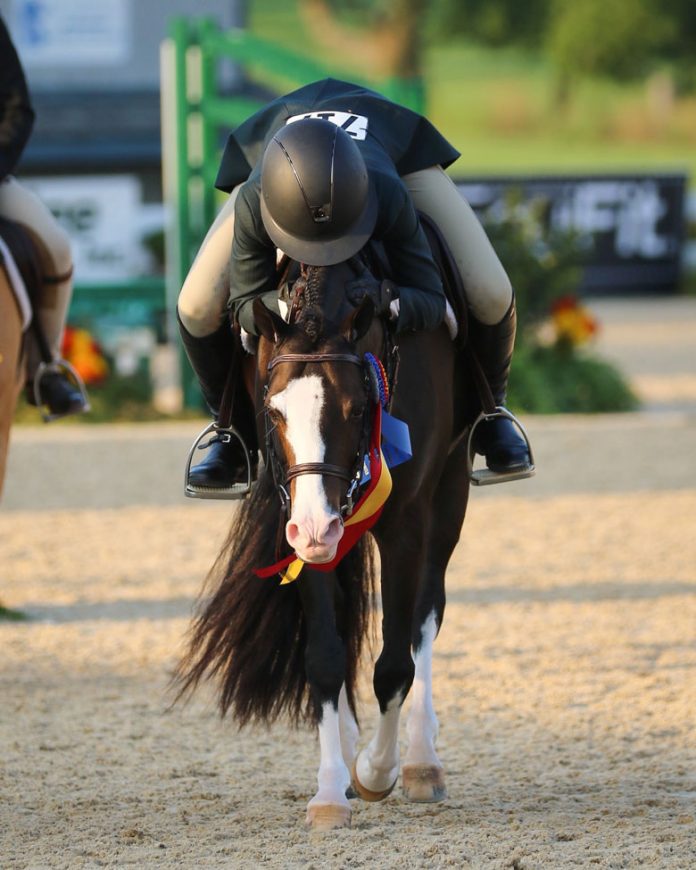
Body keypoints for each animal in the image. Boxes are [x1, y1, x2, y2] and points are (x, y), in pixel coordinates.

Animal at [174, 243, 476, 831]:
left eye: (358, 408)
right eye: (274, 411)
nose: (318, 527)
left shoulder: (405, 523)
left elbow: (395, 664)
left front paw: (377, 772)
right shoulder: (304, 523)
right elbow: (326, 658)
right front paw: (332, 790)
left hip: (449, 493)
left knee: (426, 616)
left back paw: (420, 762)